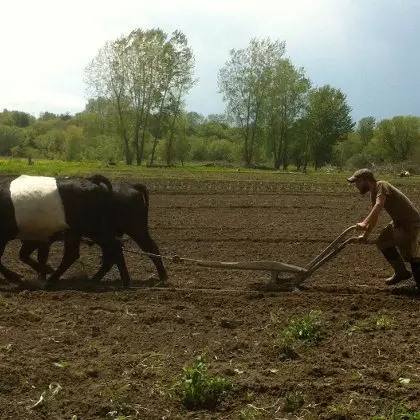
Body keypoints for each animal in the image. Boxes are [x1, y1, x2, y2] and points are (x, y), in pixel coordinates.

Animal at [0, 174, 130, 288]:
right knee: (75, 253)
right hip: (81, 231)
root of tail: (90, 180)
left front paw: (17, 277)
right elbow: (25, 255)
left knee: (110, 247)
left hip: (90, 227)